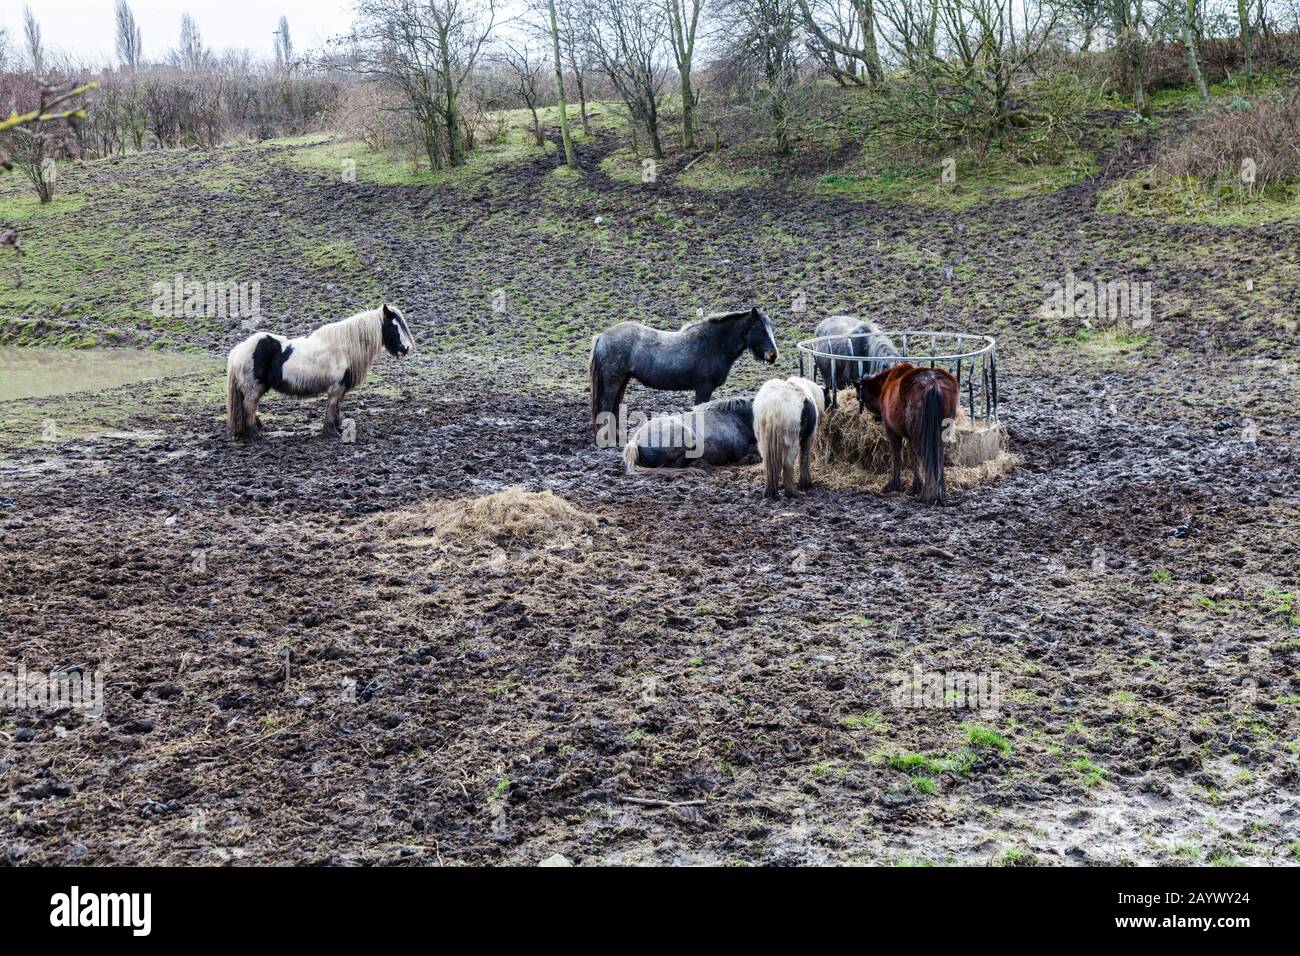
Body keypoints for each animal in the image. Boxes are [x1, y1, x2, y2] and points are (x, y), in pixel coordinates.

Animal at [226, 303, 413, 441]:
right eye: (394, 327)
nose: (405, 348)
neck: (343, 348)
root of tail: (239, 349)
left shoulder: (341, 389)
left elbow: (337, 408)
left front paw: (338, 429)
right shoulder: (336, 388)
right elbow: (331, 408)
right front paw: (332, 433)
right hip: (254, 388)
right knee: (249, 406)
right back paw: (255, 435)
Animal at [590, 306, 778, 436]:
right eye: (760, 329)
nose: (773, 355)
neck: (714, 343)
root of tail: (602, 336)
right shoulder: (704, 388)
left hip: (622, 380)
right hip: (613, 381)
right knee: (606, 405)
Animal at [861, 363, 958, 504]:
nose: (875, 418)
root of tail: (932, 380)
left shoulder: (892, 431)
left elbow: (898, 457)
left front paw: (893, 484)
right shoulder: (910, 437)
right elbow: (913, 459)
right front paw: (916, 485)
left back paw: (929, 494)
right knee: (937, 458)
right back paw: (938, 492)